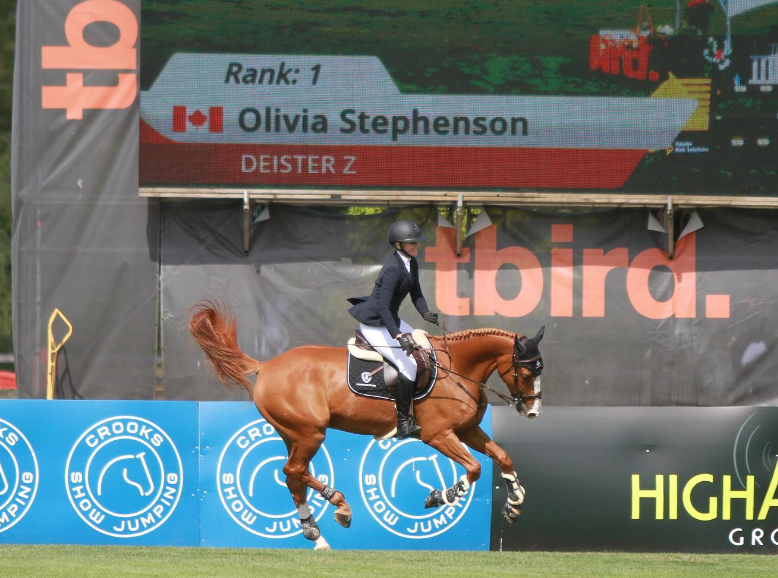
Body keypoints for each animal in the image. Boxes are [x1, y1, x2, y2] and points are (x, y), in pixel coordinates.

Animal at [189, 300, 545, 550]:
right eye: (528, 372)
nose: (533, 411)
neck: (457, 368)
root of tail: (267, 366)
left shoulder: (468, 431)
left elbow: (502, 457)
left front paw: (514, 503)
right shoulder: (438, 435)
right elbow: (474, 468)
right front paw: (441, 497)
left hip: (293, 434)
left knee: (293, 476)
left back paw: (315, 532)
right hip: (310, 432)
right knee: (293, 471)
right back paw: (340, 506)